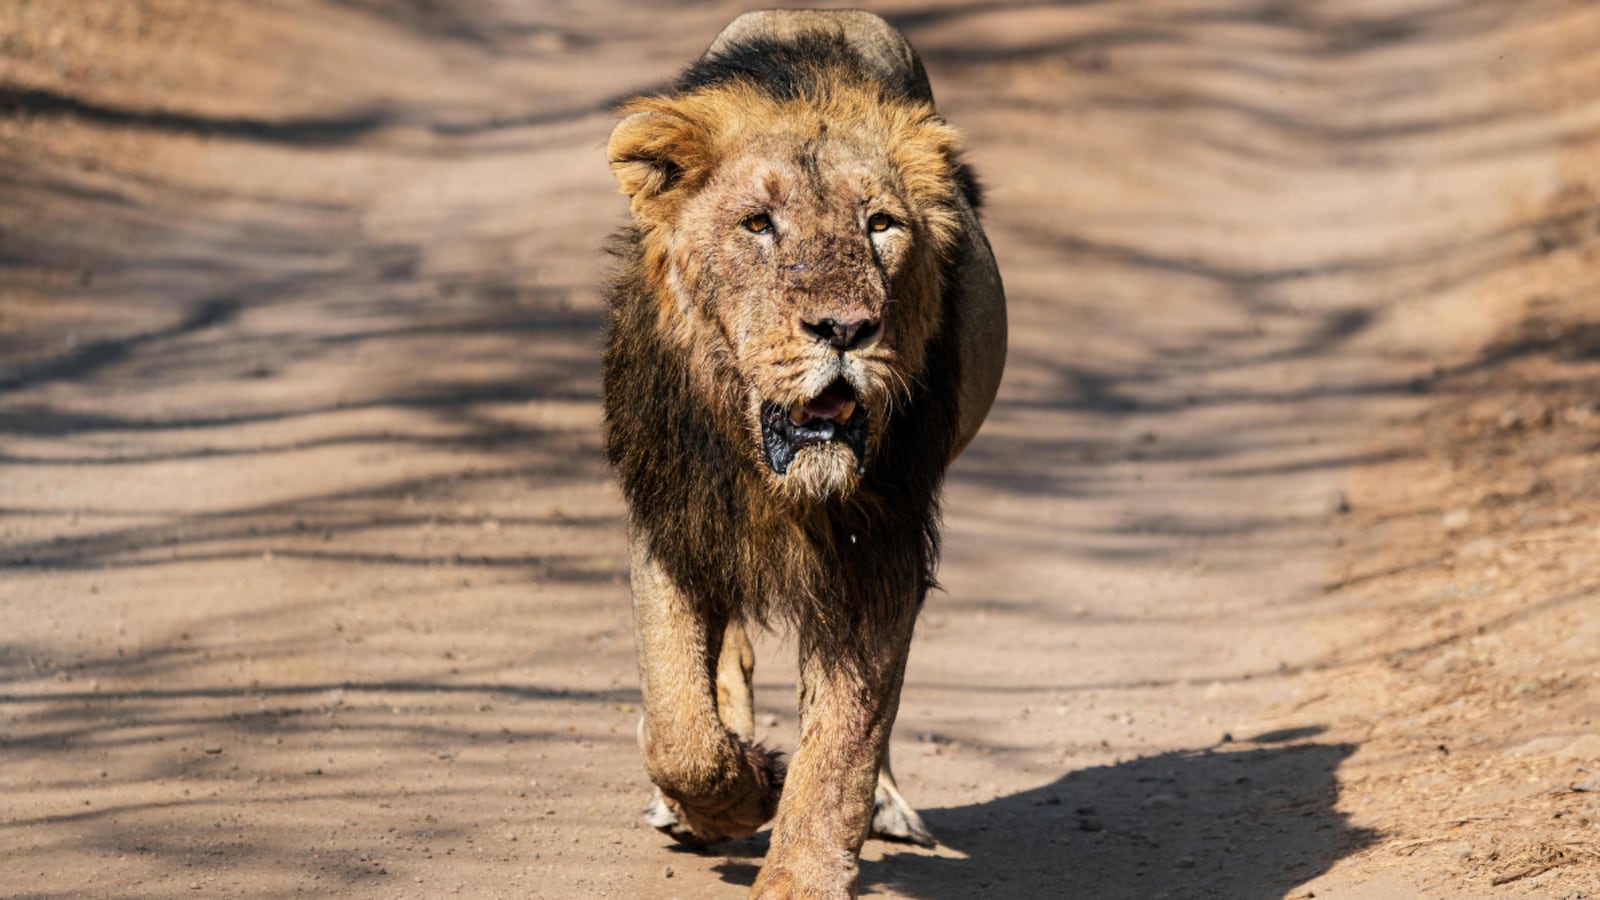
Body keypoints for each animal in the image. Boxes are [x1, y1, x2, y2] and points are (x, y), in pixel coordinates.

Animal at [601, 10, 1005, 898]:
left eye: (880, 225)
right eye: (758, 224)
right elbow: (679, 725)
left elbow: (845, 739)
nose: (846, 328)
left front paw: (802, 872)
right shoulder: (672, 515)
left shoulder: (879, 546)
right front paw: (735, 793)